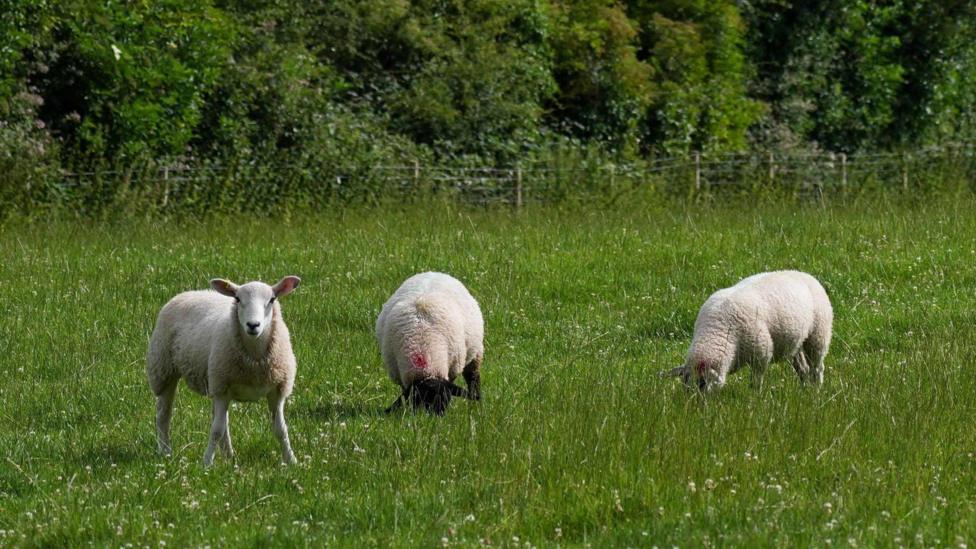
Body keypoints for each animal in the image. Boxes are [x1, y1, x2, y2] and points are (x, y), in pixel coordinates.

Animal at [147, 276, 301, 466]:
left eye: (272, 300)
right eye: (238, 299)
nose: (253, 325)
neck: (255, 361)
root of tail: (191, 292)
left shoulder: (278, 390)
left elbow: (280, 429)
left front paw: (291, 460)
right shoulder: (222, 389)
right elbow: (216, 431)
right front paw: (207, 462)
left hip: (214, 381)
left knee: (221, 420)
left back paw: (229, 456)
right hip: (164, 370)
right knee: (163, 414)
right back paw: (165, 451)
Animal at [375, 272, 484, 415]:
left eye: (445, 399)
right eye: (417, 400)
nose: (432, 418)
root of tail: (434, 273)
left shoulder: (452, 369)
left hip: (475, 353)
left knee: (473, 377)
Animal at [663, 270, 832, 391]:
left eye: (703, 384)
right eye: (686, 384)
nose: (695, 408)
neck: (718, 328)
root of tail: (803, 273)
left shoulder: (761, 354)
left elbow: (756, 381)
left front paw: (755, 398)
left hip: (818, 336)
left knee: (817, 368)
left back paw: (816, 391)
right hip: (796, 342)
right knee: (803, 368)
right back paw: (804, 390)